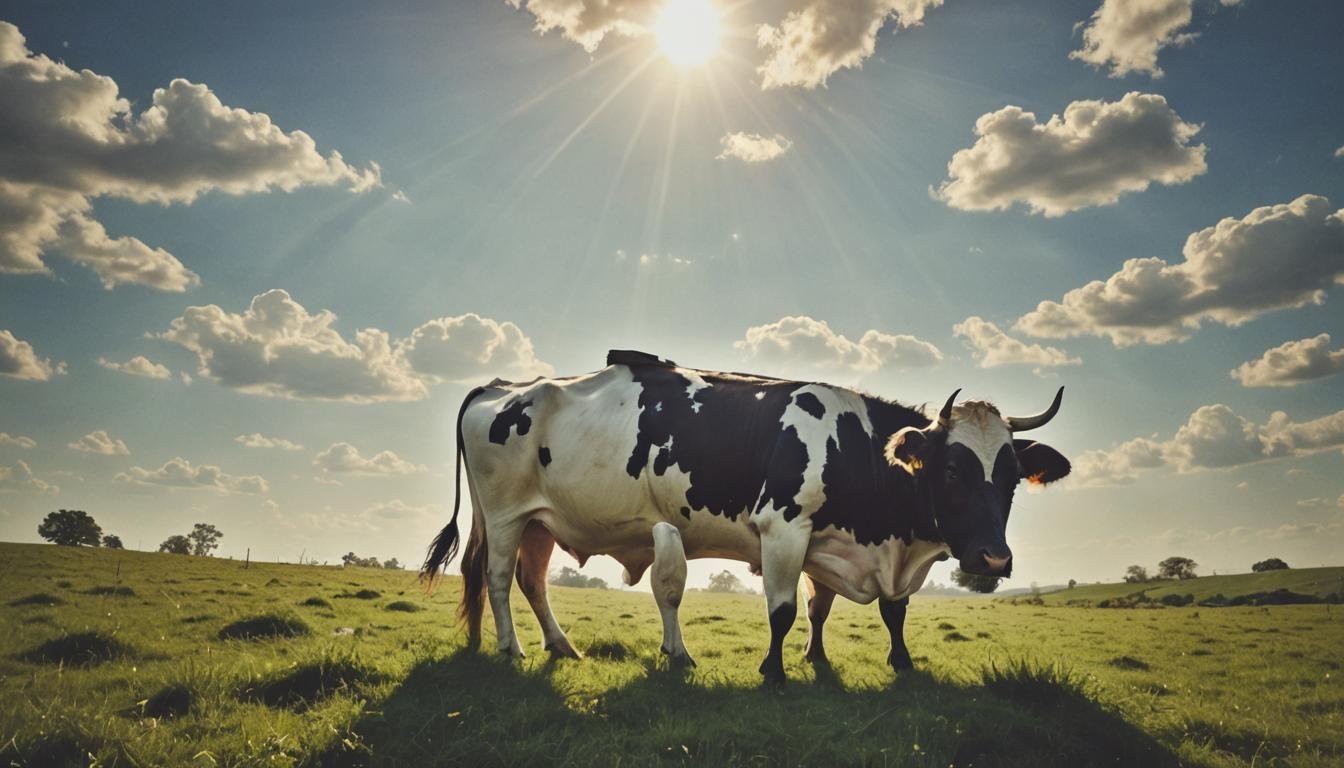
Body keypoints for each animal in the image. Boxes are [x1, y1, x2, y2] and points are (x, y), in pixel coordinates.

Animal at [421, 349, 1071, 683]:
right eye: (954, 471)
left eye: (1012, 476)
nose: (995, 558)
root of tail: (503, 384)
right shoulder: (784, 527)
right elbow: (783, 611)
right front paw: (774, 672)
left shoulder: (840, 544)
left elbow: (872, 610)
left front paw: (883, 662)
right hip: (506, 514)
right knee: (497, 578)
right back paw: (512, 649)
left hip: (542, 520)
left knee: (528, 579)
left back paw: (560, 647)